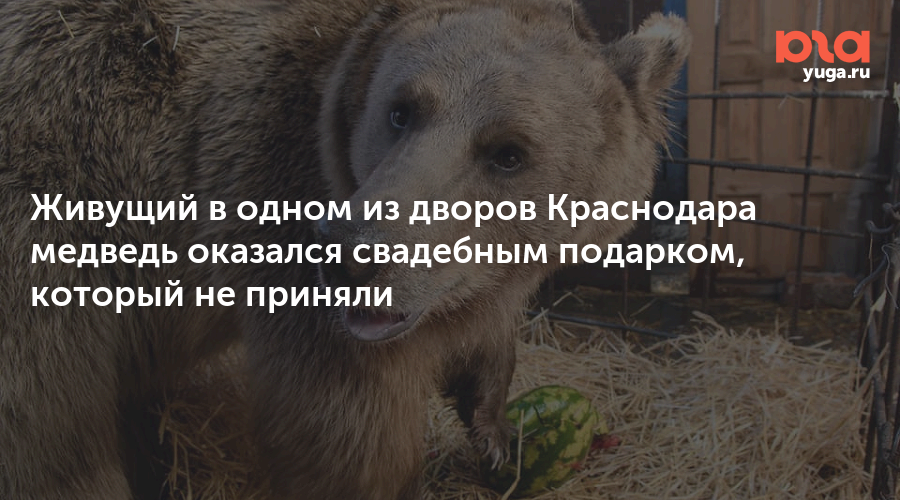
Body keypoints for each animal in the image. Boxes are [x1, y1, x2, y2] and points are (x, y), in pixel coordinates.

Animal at [0, 0, 690, 499]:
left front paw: (494, 429)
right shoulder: (272, 198)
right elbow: (344, 427)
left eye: (507, 152)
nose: (357, 254)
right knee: (52, 427)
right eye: (401, 110)